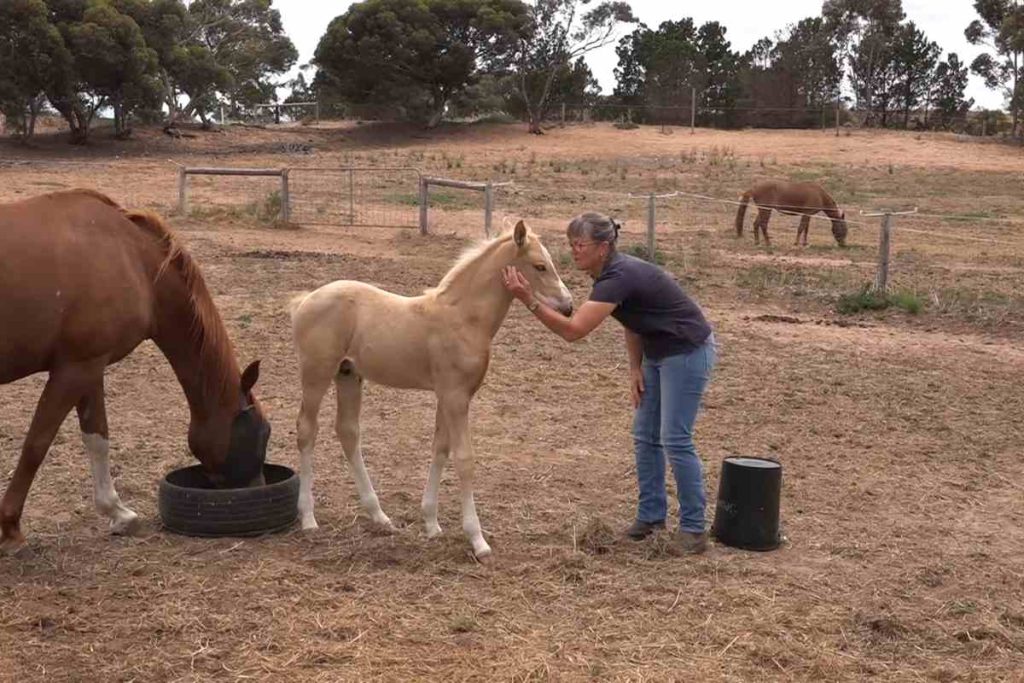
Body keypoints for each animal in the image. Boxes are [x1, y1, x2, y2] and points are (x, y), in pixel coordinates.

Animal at [0, 189, 271, 554]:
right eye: (262, 433)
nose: (258, 490)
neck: (133, 258)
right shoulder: (75, 369)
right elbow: (36, 445)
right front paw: (11, 527)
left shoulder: (89, 366)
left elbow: (97, 436)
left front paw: (117, 512)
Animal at [290, 220, 573, 560]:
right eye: (540, 266)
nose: (568, 307)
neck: (464, 319)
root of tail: (305, 300)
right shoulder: (455, 396)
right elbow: (464, 458)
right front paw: (477, 539)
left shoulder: (449, 395)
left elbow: (440, 449)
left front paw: (431, 523)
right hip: (316, 374)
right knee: (307, 430)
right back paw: (308, 517)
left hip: (348, 375)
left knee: (347, 432)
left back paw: (379, 515)